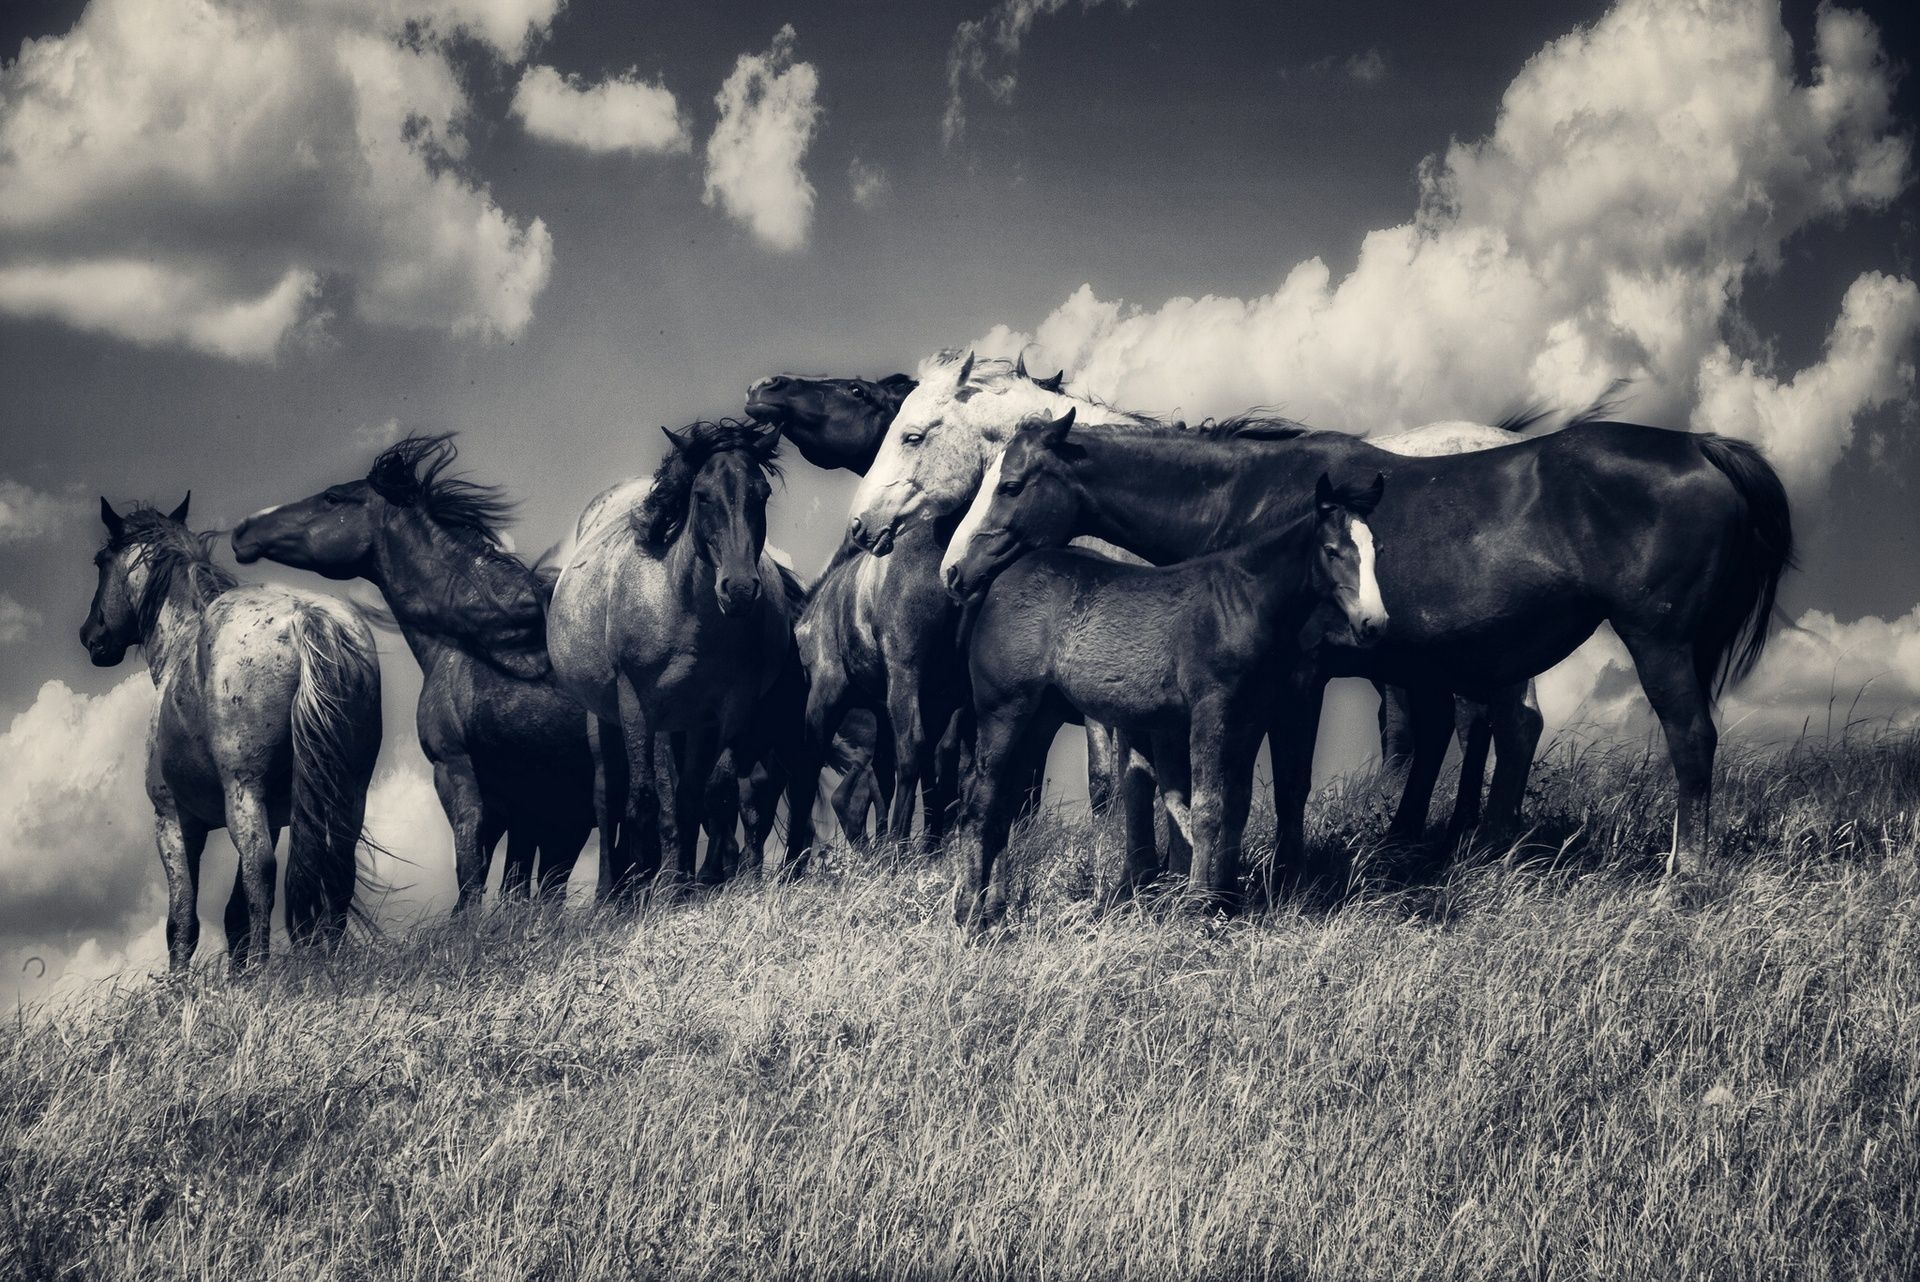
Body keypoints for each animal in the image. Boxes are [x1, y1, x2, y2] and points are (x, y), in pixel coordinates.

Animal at [82, 497, 383, 972]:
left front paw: (179, 985)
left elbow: (182, 921)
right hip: (348, 792)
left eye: (100, 562)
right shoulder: (274, 816)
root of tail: (306, 617)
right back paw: (331, 959)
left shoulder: (174, 820)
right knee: (338, 865)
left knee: (262, 868)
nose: (91, 635)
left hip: (244, 790)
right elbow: (234, 913)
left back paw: (262, 970)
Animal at [231, 435, 595, 909]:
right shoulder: (534, 803)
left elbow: (472, 872)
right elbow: (523, 882)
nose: (244, 530)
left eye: (333, 497)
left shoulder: (458, 773)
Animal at [547, 420, 817, 890]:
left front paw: (685, 887)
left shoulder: (728, 709)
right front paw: (647, 889)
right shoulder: (641, 705)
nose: (739, 589)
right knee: (609, 797)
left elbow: (712, 794)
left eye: (761, 494)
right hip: (605, 717)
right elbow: (645, 802)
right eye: (702, 495)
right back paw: (612, 891)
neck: (686, 610)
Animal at [942, 407, 1793, 883]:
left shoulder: (1297, 679)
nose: (953, 571)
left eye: (1011, 486)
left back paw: (1684, 874)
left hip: (1660, 642)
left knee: (1688, 739)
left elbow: (1283, 781)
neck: (1253, 505)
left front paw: (1280, 874)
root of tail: (1703, 448)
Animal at [952, 466, 1388, 930]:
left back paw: (996, 910)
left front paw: (1227, 899)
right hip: (1003, 710)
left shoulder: (1250, 717)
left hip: (1041, 715)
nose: (1373, 623)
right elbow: (1207, 807)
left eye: (1377, 550)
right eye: (1331, 550)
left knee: (1004, 801)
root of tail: (1001, 582)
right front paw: (1198, 905)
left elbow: (1237, 805)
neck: (1242, 604)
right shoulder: (1210, 711)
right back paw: (969, 913)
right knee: (980, 801)